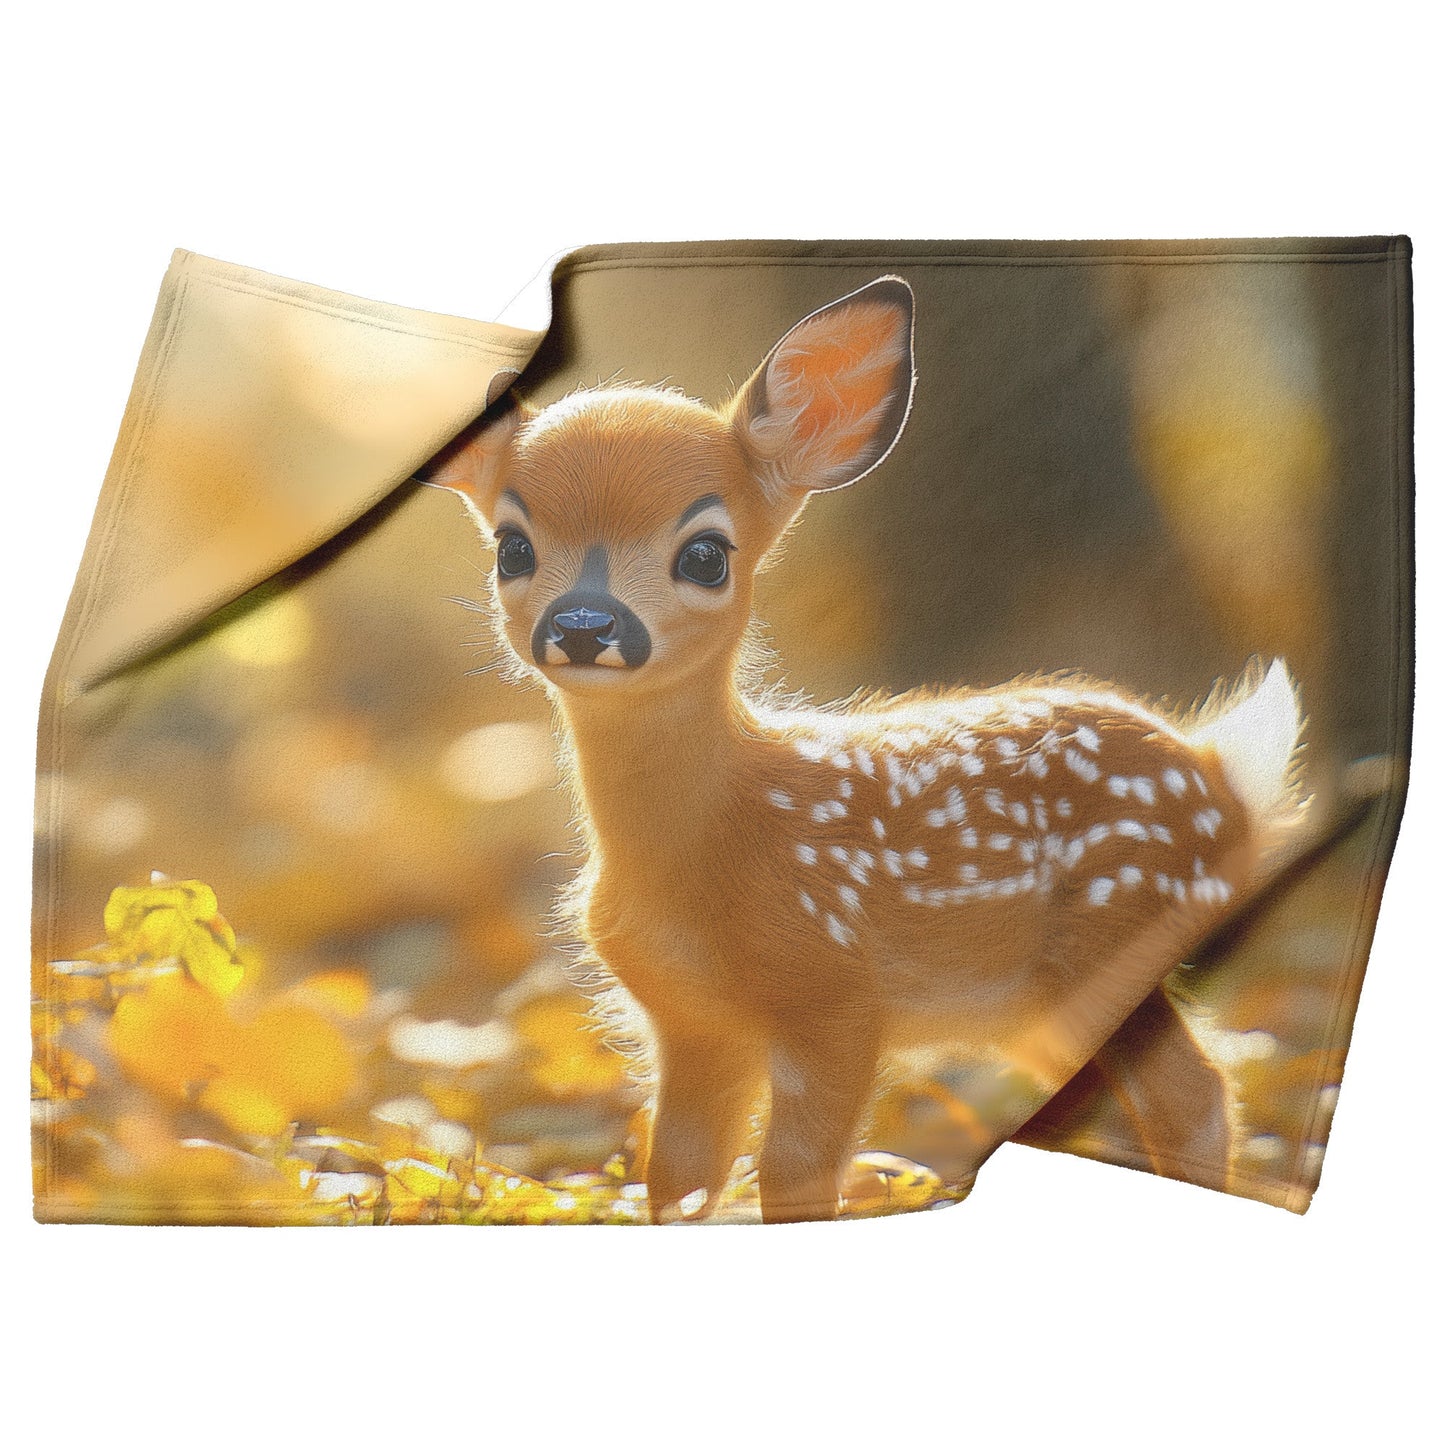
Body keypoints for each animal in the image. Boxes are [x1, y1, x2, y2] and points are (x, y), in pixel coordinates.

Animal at [423, 276, 1305, 1223]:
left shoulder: (833, 989)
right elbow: (679, 1177)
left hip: (1111, 934)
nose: (585, 624)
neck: (711, 838)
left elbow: (795, 1172)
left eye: (705, 554)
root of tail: (1221, 776)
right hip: (1036, 1005)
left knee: (1197, 1091)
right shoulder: (691, 1020)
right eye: (513, 546)